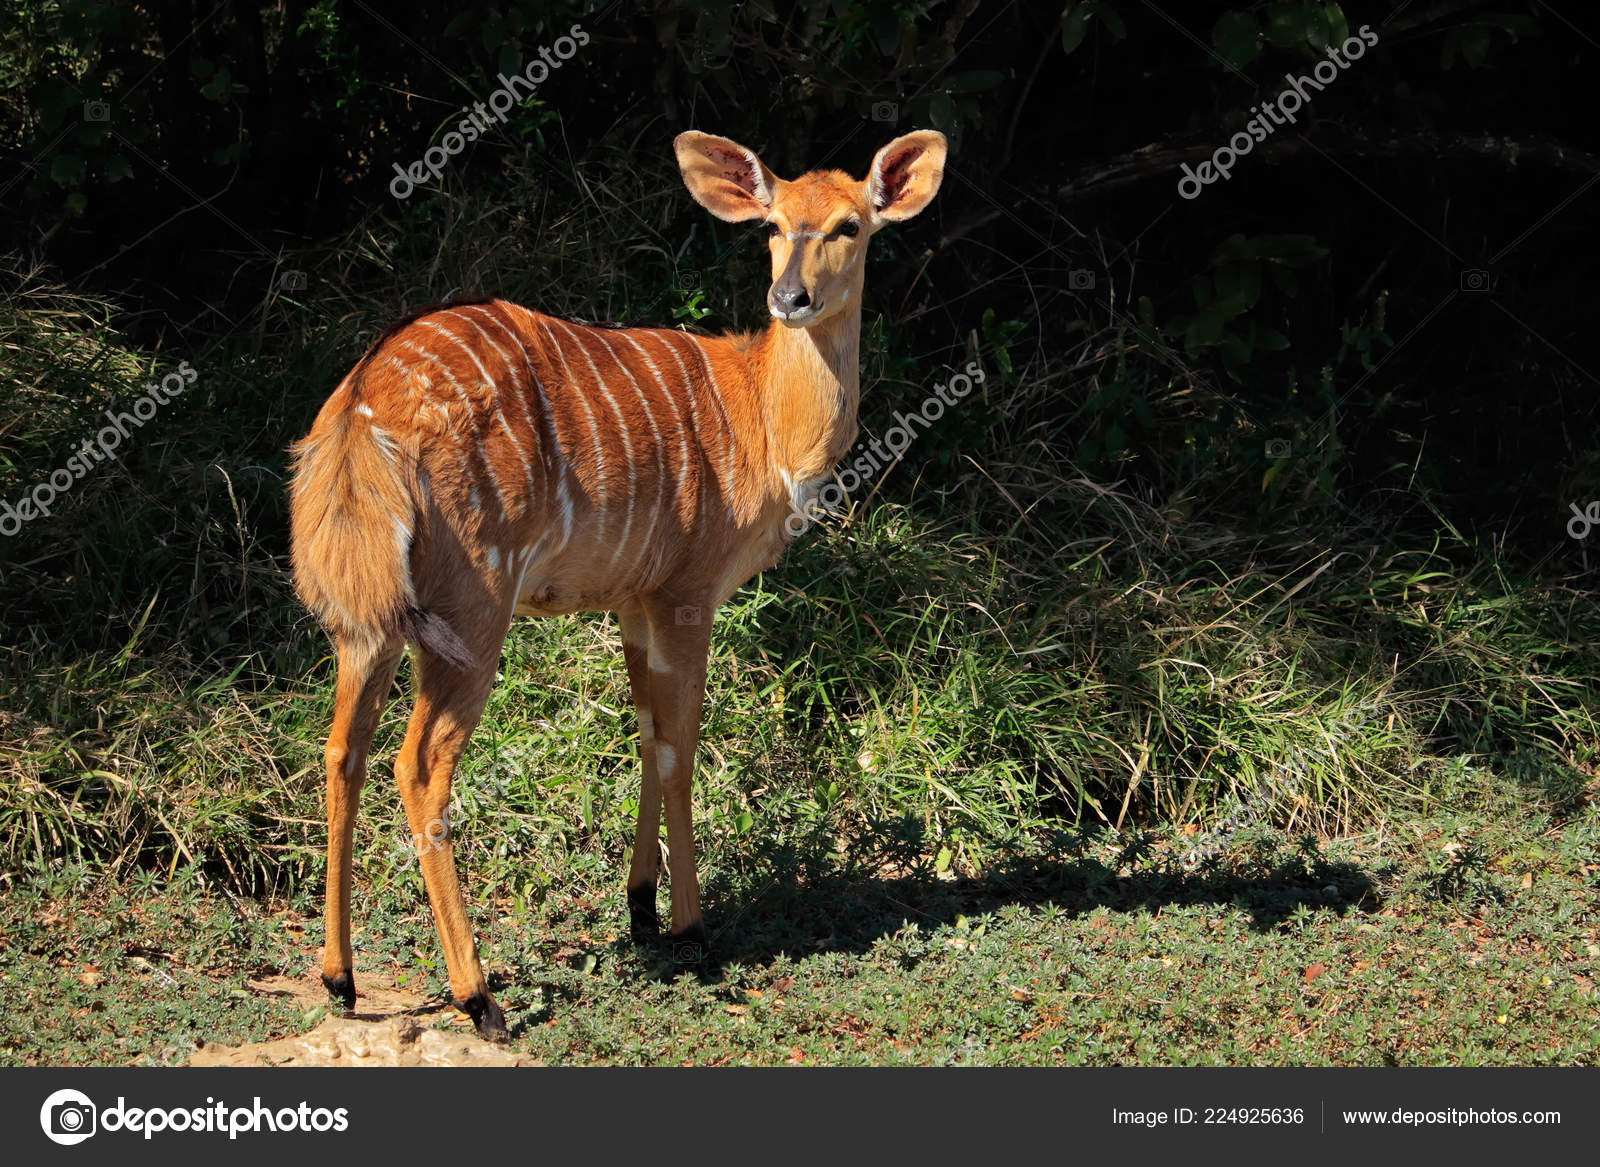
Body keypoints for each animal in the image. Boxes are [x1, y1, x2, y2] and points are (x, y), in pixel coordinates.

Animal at [288, 129, 946, 1041]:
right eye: (774, 224)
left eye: (850, 225)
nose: (791, 296)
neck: (762, 414)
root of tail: (360, 405)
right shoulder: (687, 593)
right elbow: (681, 744)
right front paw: (692, 930)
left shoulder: (635, 603)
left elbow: (643, 733)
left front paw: (639, 910)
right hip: (474, 608)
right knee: (419, 764)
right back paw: (479, 997)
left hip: (371, 622)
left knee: (341, 750)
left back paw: (340, 978)